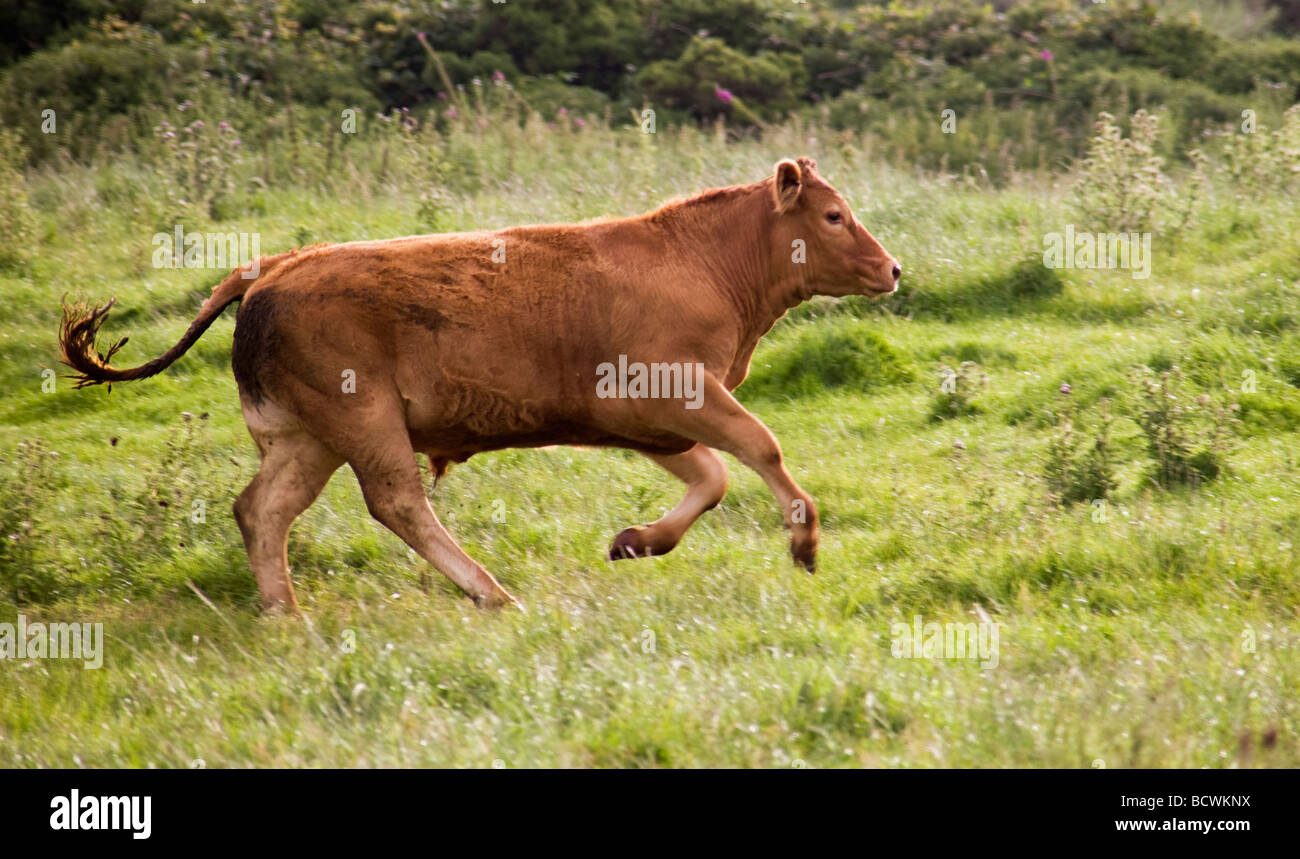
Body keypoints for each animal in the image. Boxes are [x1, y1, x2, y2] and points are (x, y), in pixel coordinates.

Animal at [59, 157, 900, 612]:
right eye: (833, 215)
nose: (892, 268)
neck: (701, 261)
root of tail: (274, 265)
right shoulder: (665, 393)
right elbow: (759, 446)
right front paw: (804, 539)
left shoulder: (647, 421)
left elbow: (713, 476)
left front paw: (635, 541)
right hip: (364, 421)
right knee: (397, 502)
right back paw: (490, 590)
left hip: (309, 436)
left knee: (261, 510)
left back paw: (285, 612)